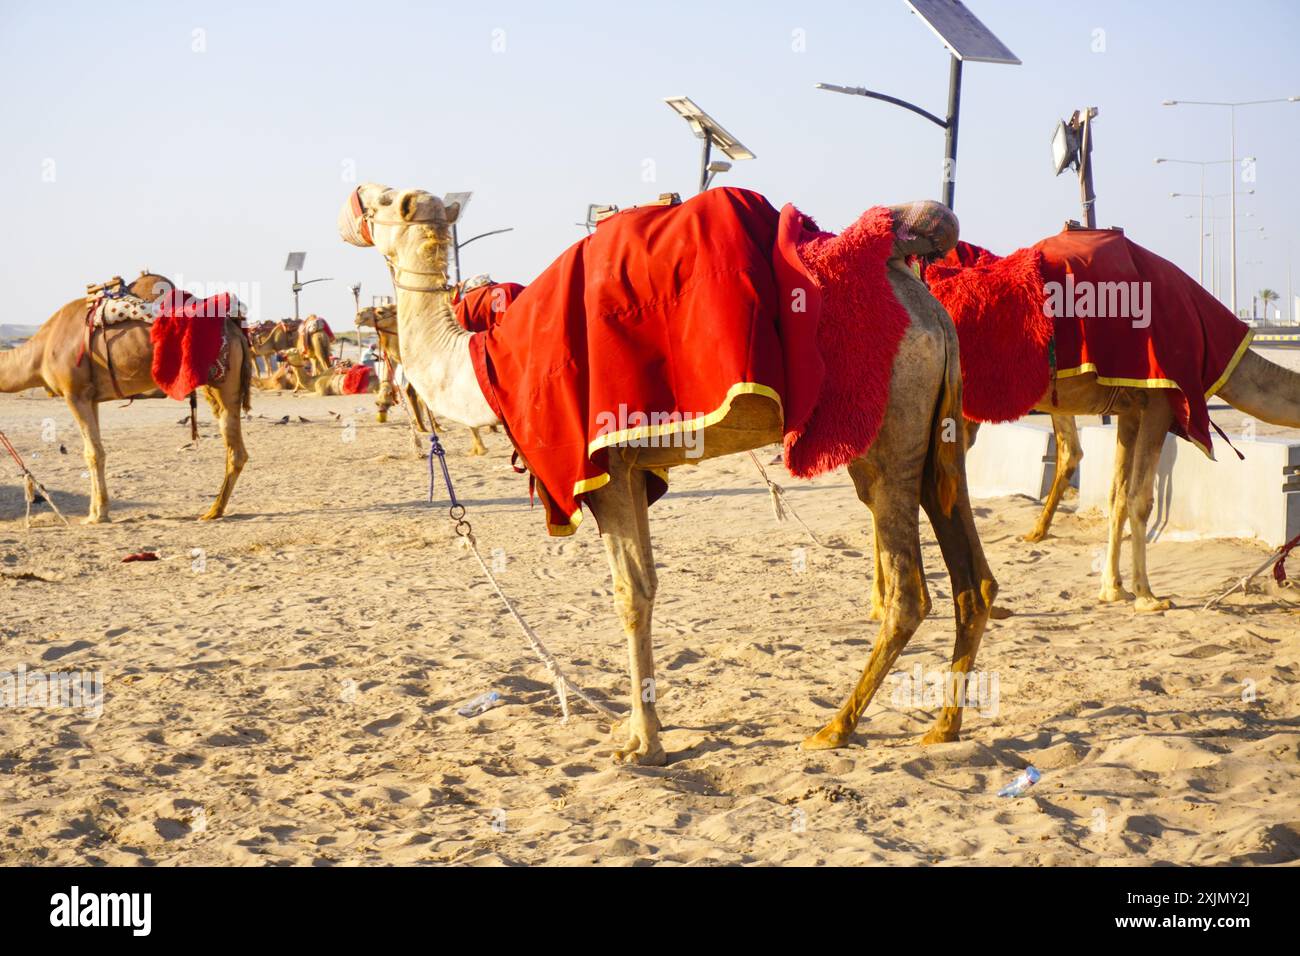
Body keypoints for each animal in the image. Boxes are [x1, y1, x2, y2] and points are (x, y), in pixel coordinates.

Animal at [0, 272, 252, 522]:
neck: (40, 352)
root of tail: (237, 330)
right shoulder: (91, 398)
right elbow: (95, 451)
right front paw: (97, 510)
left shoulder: (74, 393)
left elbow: (92, 453)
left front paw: (97, 516)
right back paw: (215, 509)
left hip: (224, 383)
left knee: (236, 450)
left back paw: (213, 511)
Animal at [341, 183, 997, 766]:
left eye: (385, 199)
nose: (353, 200)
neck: (484, 363)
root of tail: (931, 311)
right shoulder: (631, 470)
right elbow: (648, 587)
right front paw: (638, 729)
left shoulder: (601, 464)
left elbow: (629, 594)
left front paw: (642, 744)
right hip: (937, 436)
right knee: (974, 576)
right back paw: (943, 726)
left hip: (888, 432)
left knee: (910, 592)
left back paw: (834, 729)